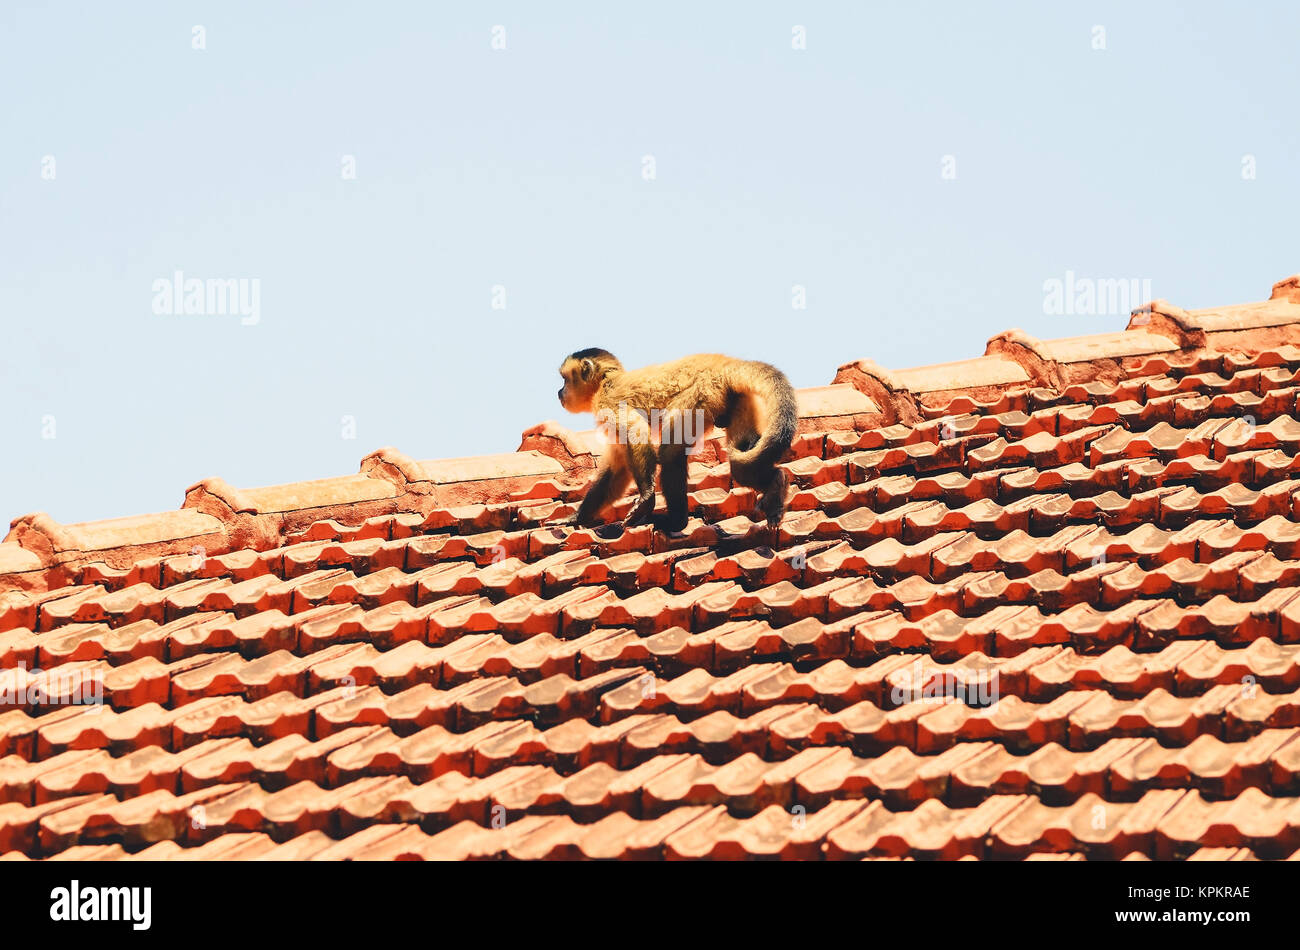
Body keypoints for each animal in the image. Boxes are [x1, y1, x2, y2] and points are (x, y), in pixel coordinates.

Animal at [552, 348, 798, 537]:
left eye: (565, 380)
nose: (559, 392)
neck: (605, 381)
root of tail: (725, 363)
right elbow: (617, 469)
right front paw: (576, 518)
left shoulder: (607, 399)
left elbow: (636, 432)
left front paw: (647, 496)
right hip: (736, 397)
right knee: (741, 463)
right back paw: (775, 484)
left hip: (701, 393)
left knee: (670, 453)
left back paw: (676, 522)